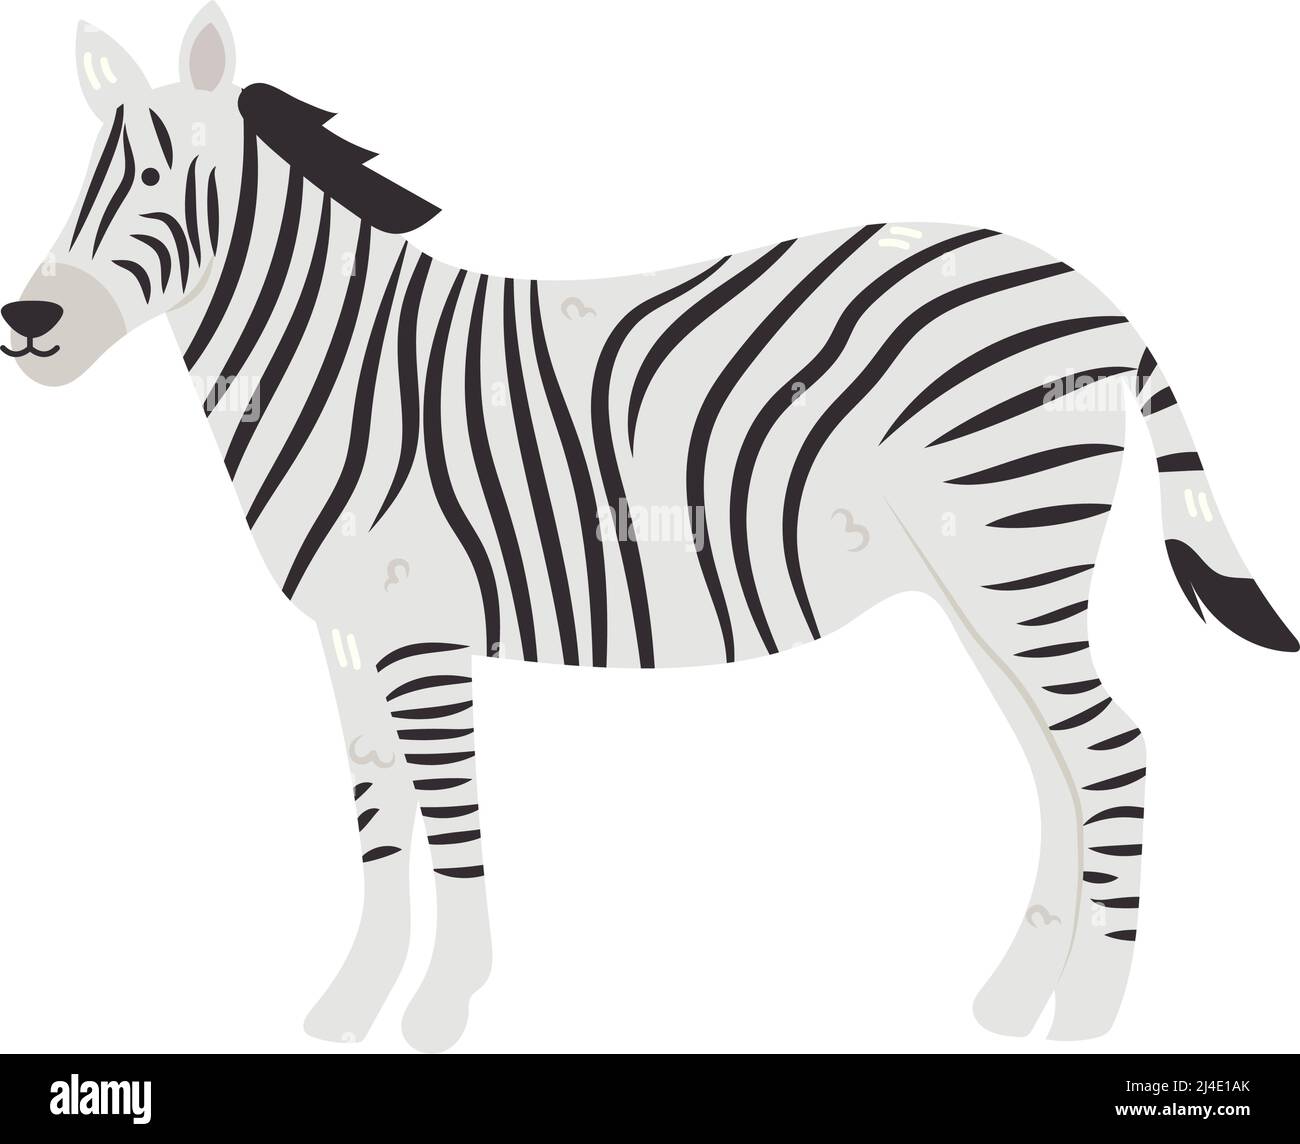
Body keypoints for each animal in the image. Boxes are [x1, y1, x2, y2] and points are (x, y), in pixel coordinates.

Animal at [5, 4, 1295, 1052]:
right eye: (78, 182)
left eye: (162, 179)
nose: (28, 324)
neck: (343, 369)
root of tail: (1099, 296)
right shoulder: (345, 635)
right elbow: (376, 816)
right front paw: (347, 1004)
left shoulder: (421, 627)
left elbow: (449, 807)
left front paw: (441, 1005)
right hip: (988, 579)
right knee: (1056, 765)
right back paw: (1013, 1001)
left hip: (1008, 549)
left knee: (1110, 752)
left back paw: (1085, 1016)